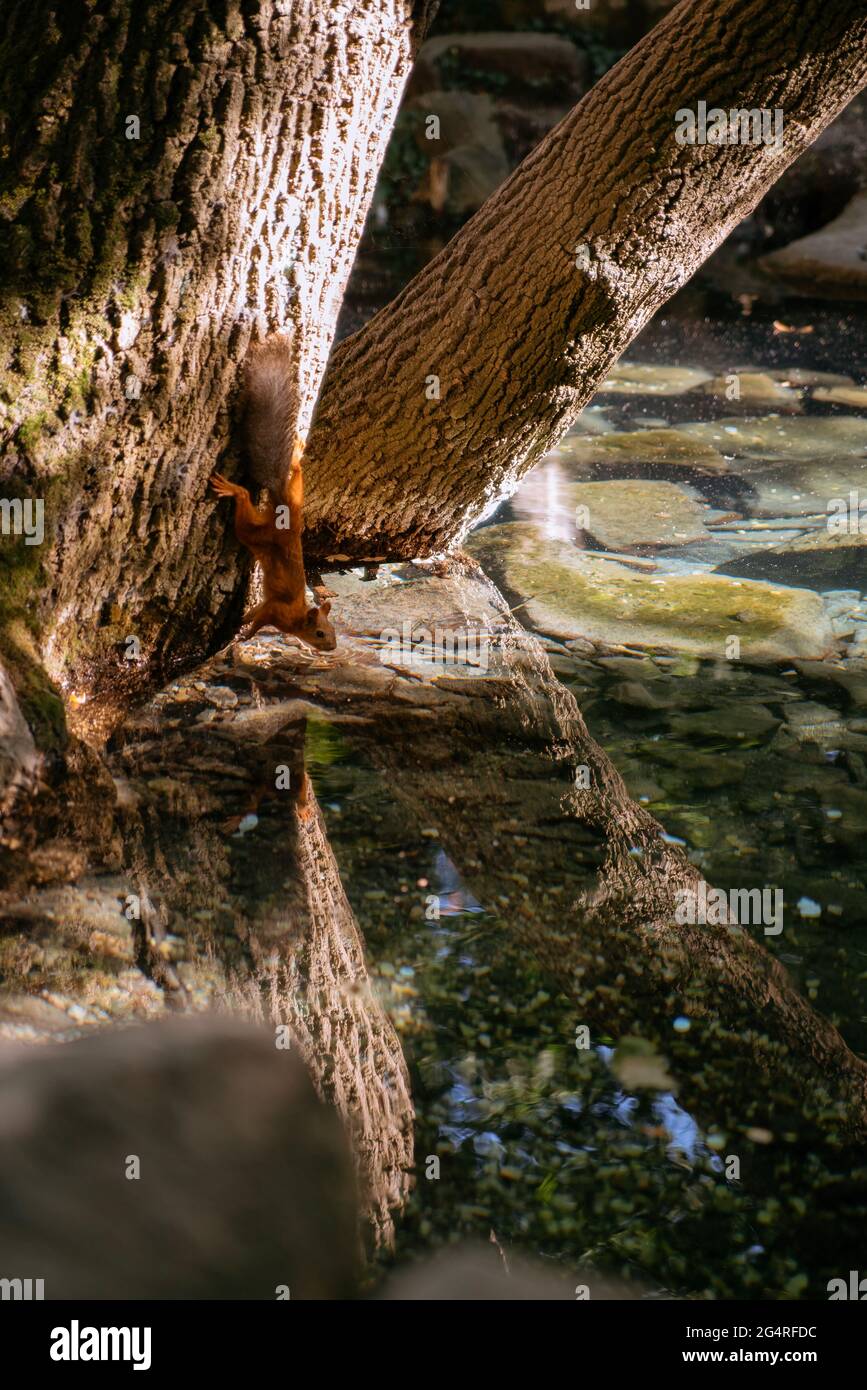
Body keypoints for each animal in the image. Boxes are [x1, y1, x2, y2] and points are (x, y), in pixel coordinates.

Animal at [210, 335, 337, 651]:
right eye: (320, 633)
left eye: (334, 630)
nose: (333, 647)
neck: (299, 615)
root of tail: (286, 514)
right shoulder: (276, 611)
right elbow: (260, 619)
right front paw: (246, 633)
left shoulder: (270, 607)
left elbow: (256, 611)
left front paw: (244, 622)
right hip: (255, 533)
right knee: (244, 502)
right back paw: (234, 489)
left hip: (293, 495)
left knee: (297, 473)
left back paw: (297, 453)